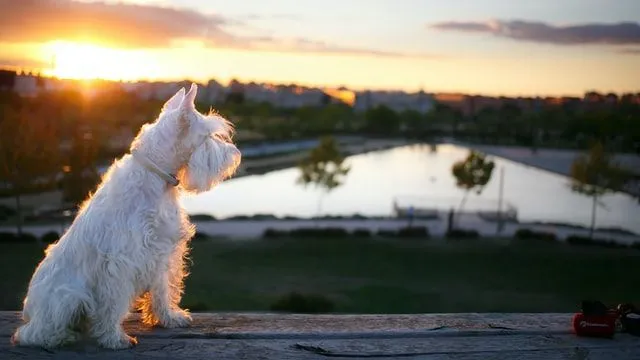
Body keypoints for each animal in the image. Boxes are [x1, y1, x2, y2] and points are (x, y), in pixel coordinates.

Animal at [11, 83, 241, 348]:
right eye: (208, 136)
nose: (235, 154)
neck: (156, 178)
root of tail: (28, 310)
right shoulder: (120, 261)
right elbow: (112, 303)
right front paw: (113, 337)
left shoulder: (161, 252)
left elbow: (162, 290)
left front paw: (168, 317)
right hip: (66, 297)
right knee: (33, 333)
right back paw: (62, 336)